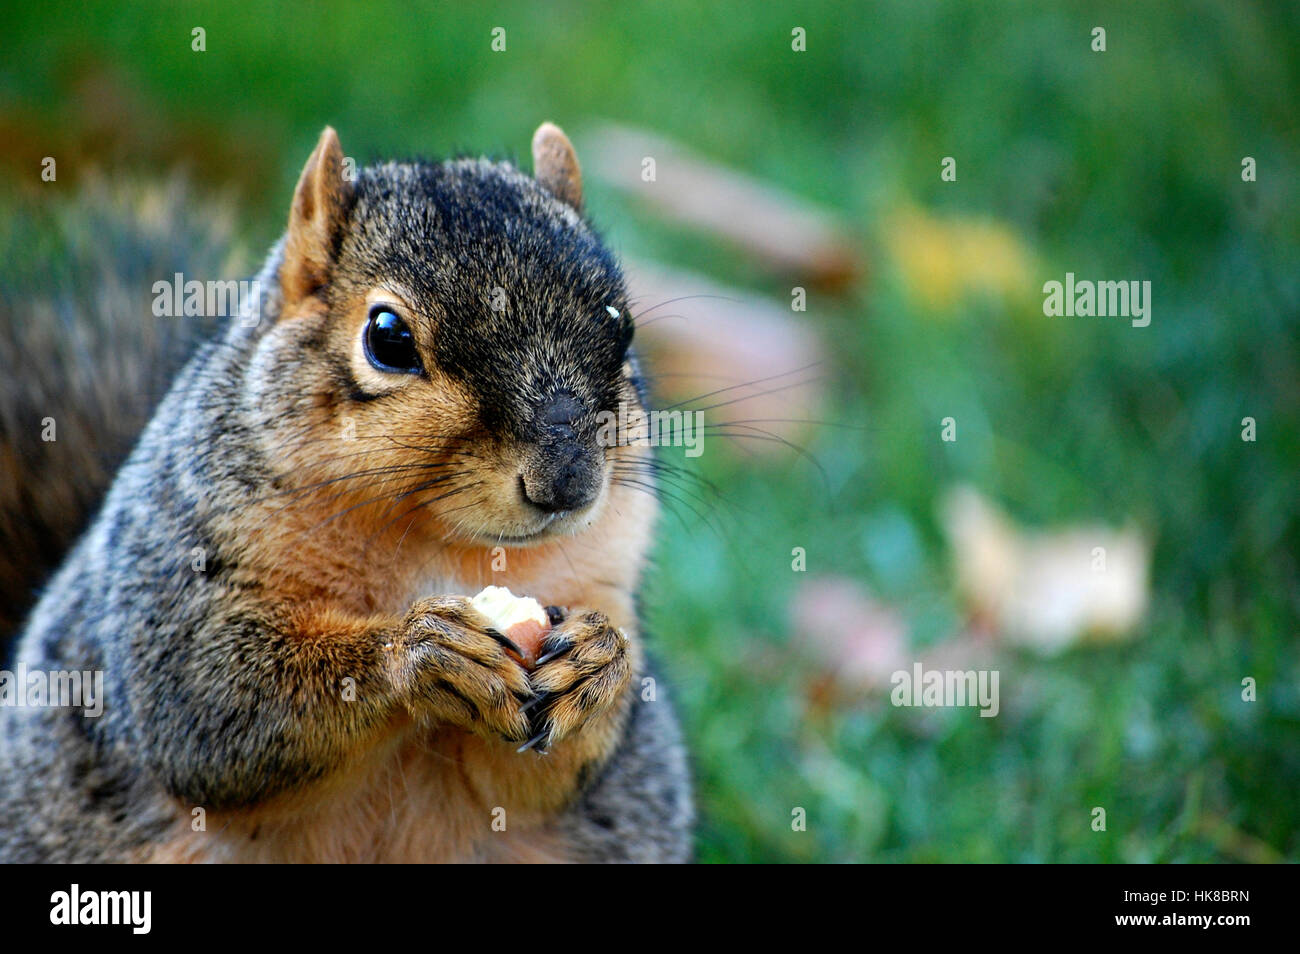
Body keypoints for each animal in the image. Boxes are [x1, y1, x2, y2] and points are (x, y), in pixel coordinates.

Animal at [0, 123, 693, 862]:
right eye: (387, 339)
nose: (566, 482)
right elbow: (208, 705)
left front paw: (599, 663)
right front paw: (419, 651)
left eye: (623, 330)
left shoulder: (602, 575)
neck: (442, 543)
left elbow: (539, 780)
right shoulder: (178, 576)